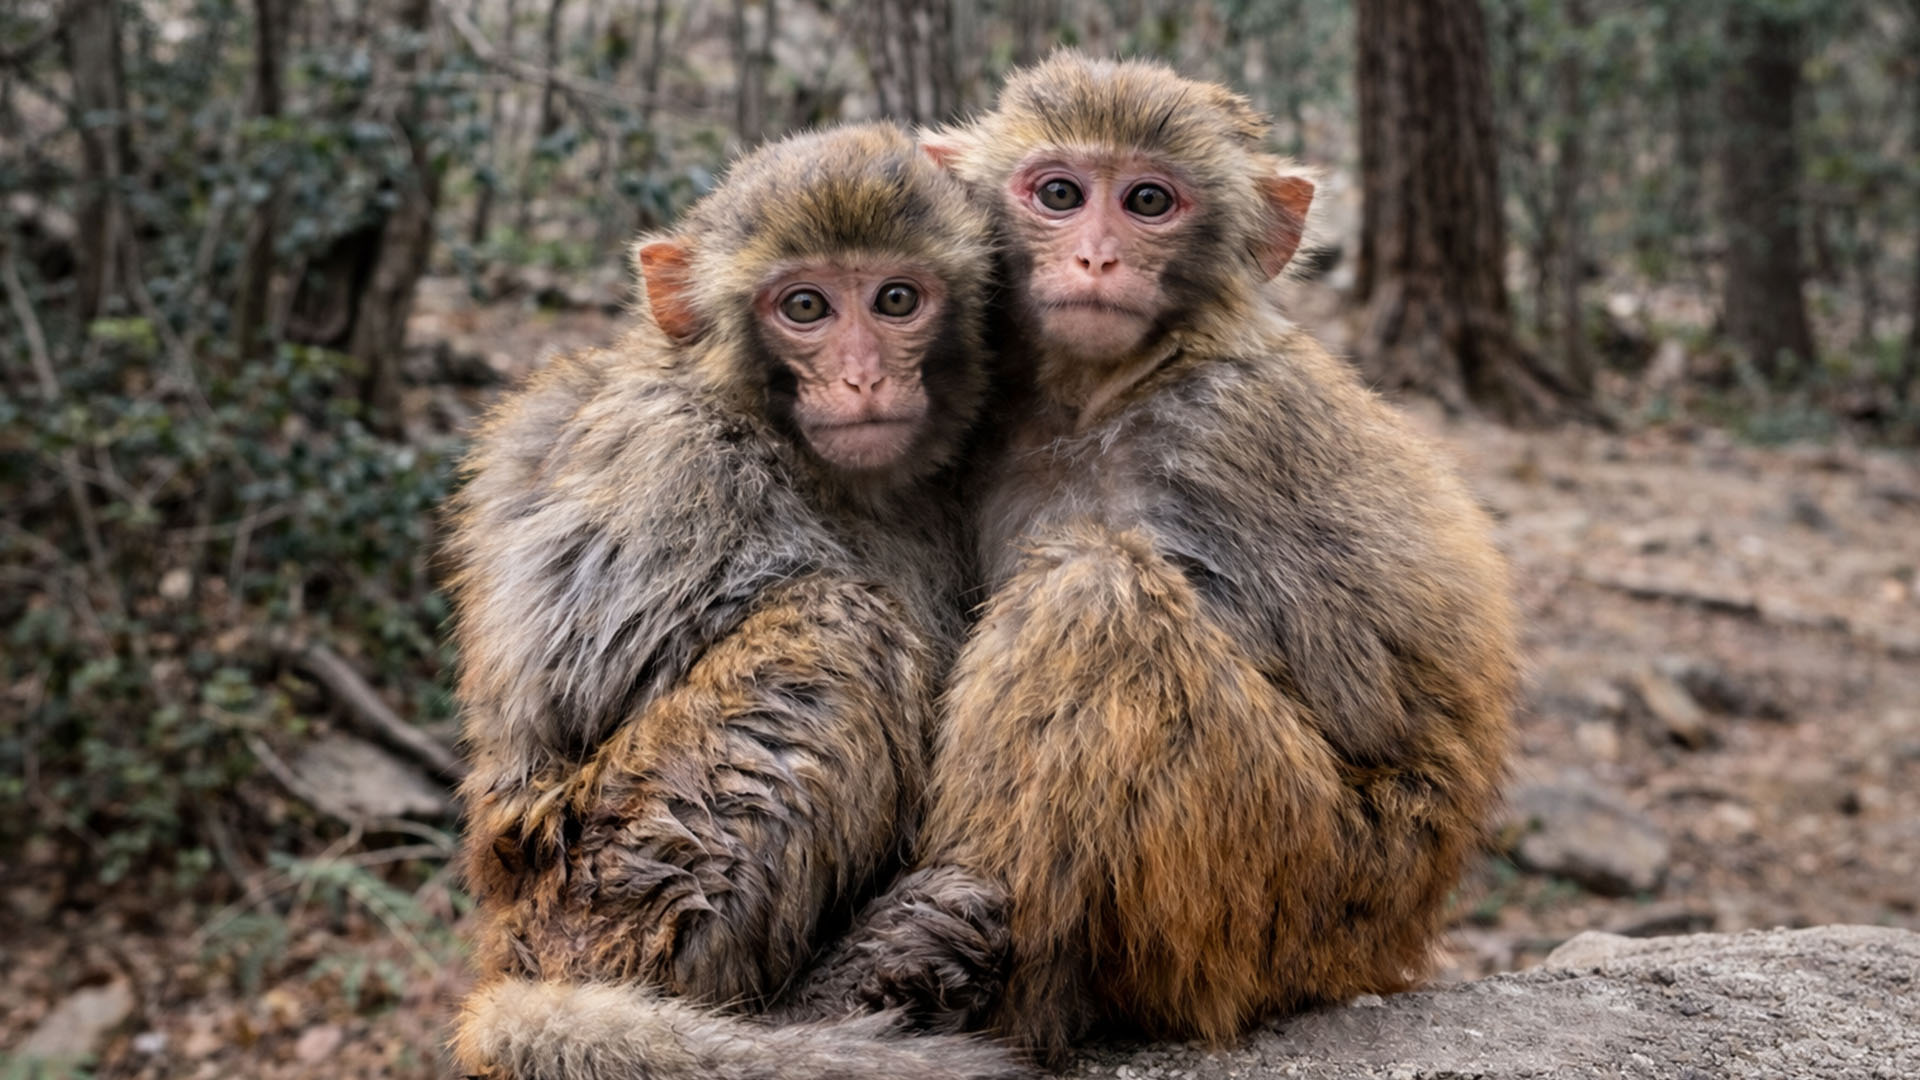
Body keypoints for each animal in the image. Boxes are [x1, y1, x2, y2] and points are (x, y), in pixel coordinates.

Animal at [442, 122, 1029, 1080]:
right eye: (806, 308)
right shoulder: (680, 474)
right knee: (839, 622)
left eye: (896, 299)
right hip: (587, 884)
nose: (863, 378)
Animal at [779, 53, 1519, 1064]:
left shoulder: (1225, 441)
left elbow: (1358, 699)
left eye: (1148, 201)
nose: (1097, 257)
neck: (1105, 395)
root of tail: (1398, 935)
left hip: (1293, 886)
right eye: (1060, 193)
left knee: (1096, 598)